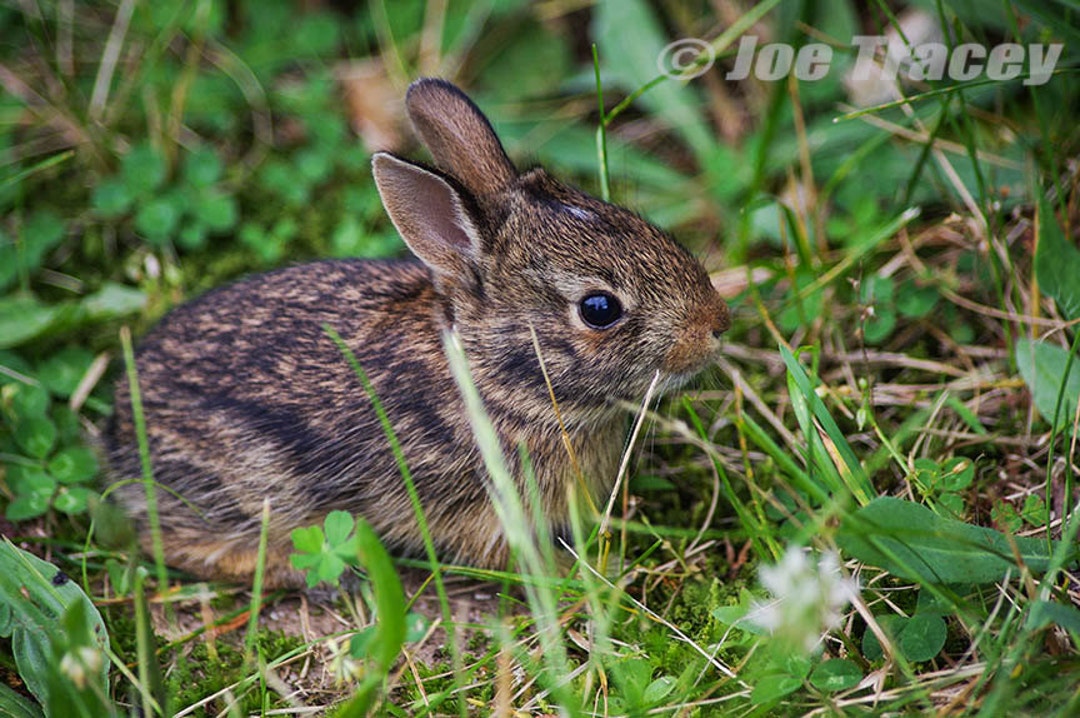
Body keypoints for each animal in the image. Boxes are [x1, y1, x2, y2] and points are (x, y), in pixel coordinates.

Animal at [103, 78, 731, 587]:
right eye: (599, 309)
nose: (716, 326)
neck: (497, 383)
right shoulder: (484, 509)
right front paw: (605, 575)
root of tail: (116, 428)